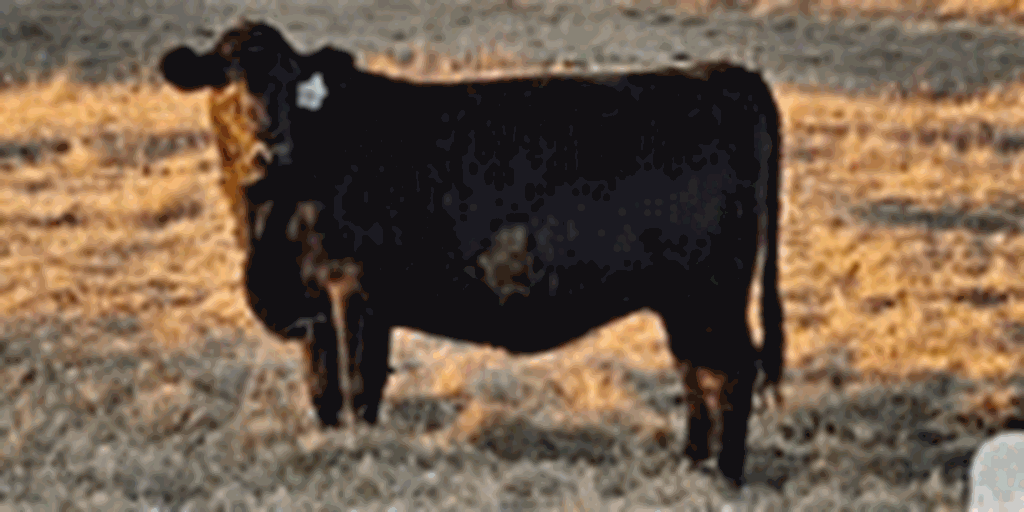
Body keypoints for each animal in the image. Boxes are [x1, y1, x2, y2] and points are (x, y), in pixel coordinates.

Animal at [159, 19, 784, 486]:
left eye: (292, 84)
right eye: (226, 82)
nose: (270, 149)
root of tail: (719, 73)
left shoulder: (352, 288)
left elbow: (359, 384)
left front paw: (362, 454)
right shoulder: (319, 299)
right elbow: (324, 389)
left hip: (712, 293)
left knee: (731, 370)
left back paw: (725, 477)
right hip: (684, 301)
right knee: (695, 371)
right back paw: (691, 466)